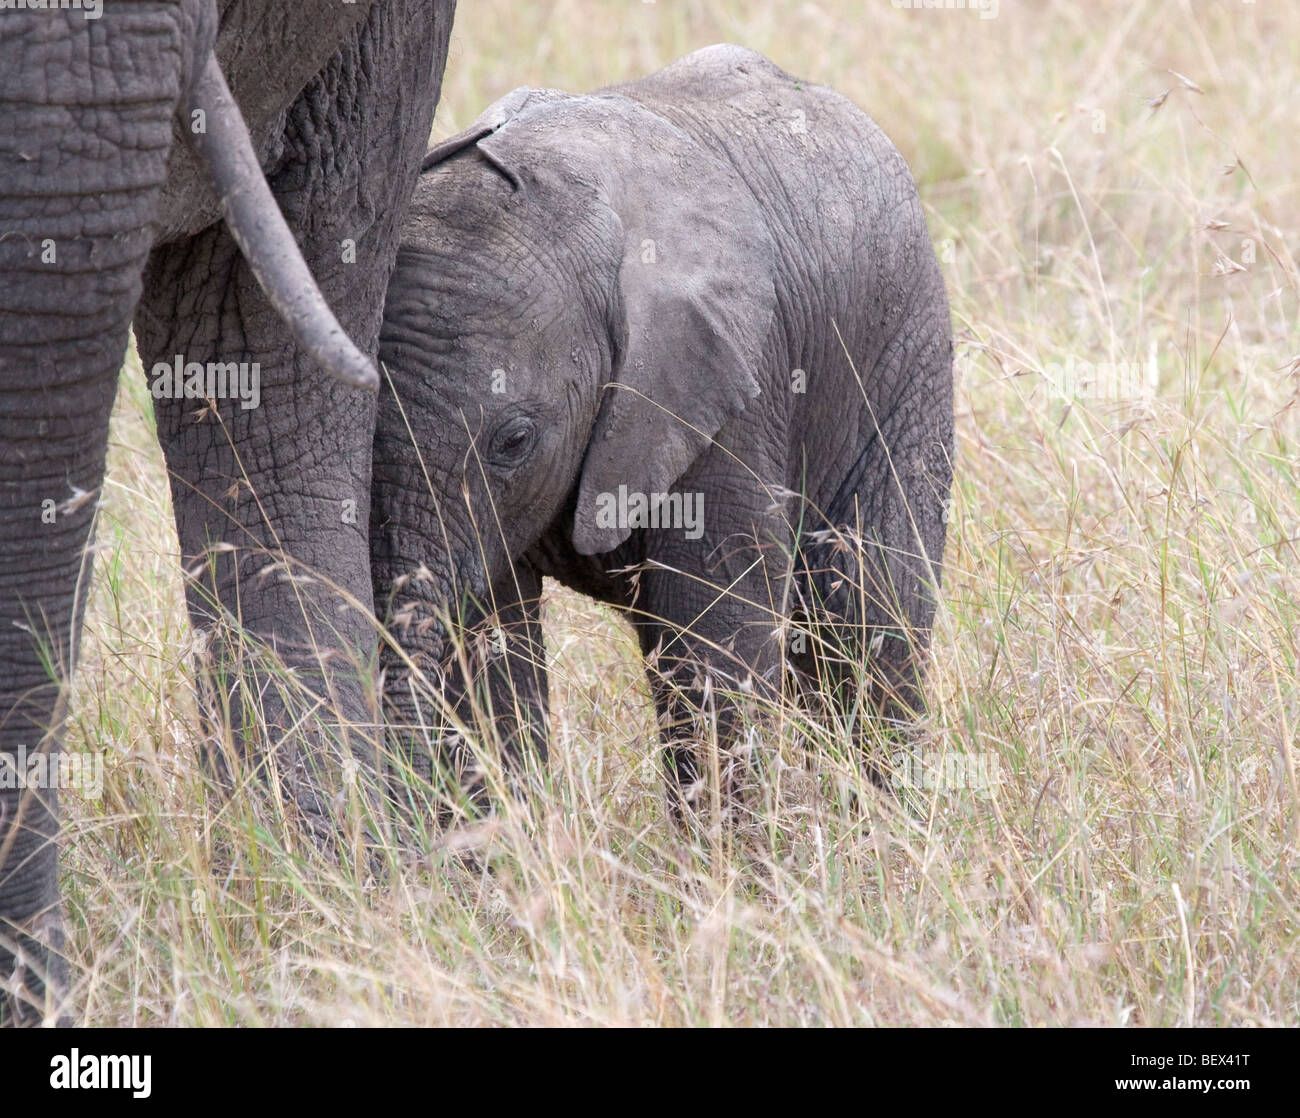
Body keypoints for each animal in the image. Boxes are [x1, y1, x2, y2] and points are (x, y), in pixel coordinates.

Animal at [371, 45, 954, 820]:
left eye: (514, 441)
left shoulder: (729, 382)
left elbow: (714, 645)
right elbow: (491, 656)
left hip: (904, 347)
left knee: (867, 621)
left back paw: (885, 832)